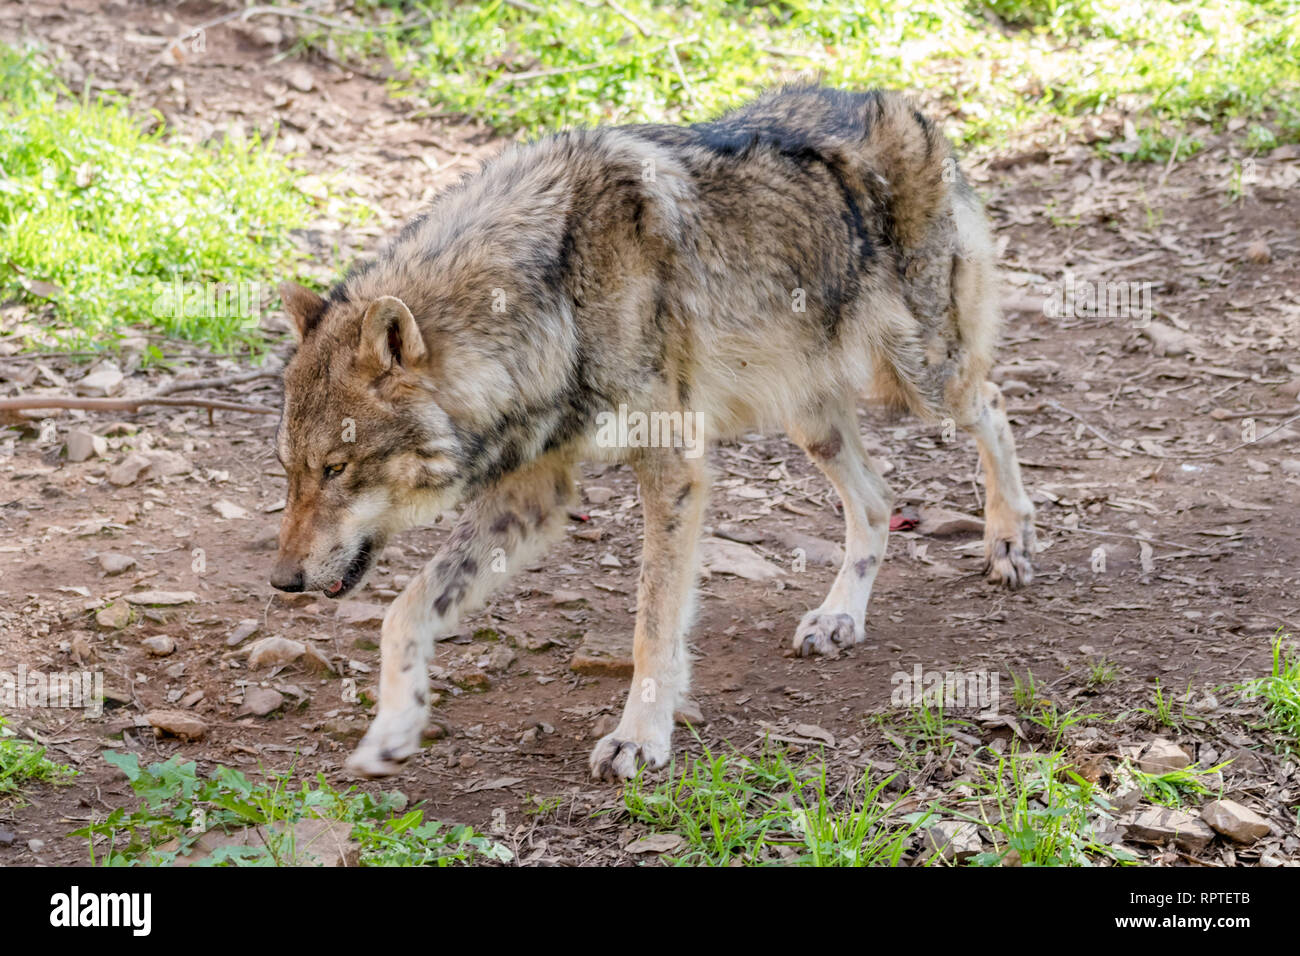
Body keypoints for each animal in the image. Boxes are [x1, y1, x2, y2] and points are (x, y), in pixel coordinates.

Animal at [270, 86, 1036, 781]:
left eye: (337, 468)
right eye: (290, 470)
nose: (283, 582)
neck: (553, 294)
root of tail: (908, 108)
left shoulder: (672, 471)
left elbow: (653, 624)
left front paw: (639, 737)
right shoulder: (534, 495)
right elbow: (403, 613)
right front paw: (392, 730)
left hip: (922, 382)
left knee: (995, 404)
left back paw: (1009, 542)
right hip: (810, 414)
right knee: (876, 502)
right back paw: (838, 618)